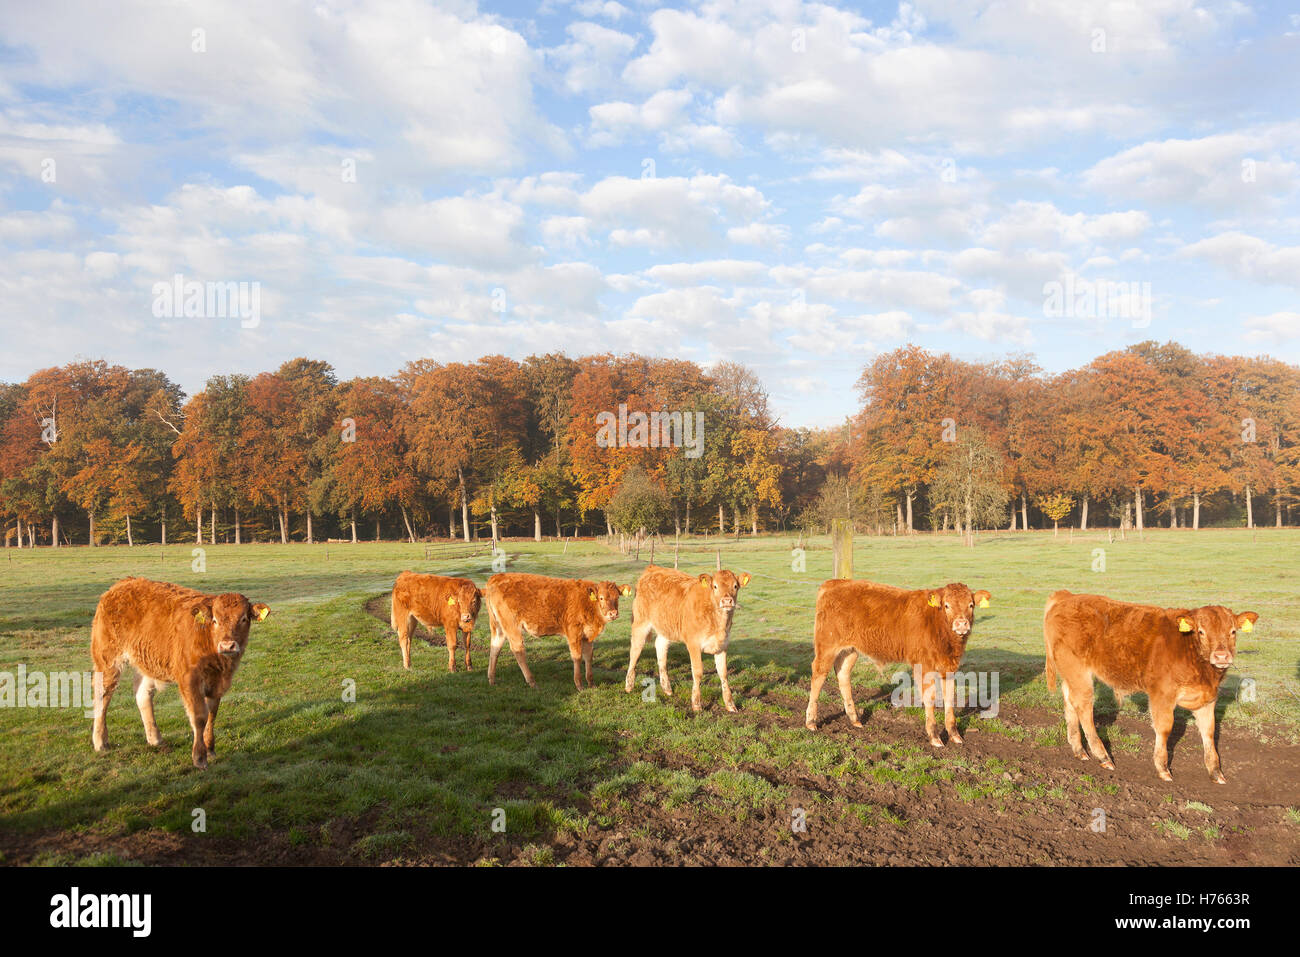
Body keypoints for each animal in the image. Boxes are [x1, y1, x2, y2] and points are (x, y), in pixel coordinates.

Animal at [90, 577, 270, 769]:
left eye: (243, 619)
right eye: (215, 620)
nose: (227, 645)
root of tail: (123, 583)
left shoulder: (217, 683)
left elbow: (212, 714)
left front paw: (210, 749)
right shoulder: (189, 679)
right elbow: (199, 716)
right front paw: (199, 757)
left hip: (147, 663)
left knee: (142, 695)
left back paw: (155, 738)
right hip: (107, 660)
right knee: (103, 695)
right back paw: (100, 741)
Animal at [483, 573, 631, 689]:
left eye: (617, 597)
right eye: (601, 597)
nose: (613, 613)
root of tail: (497, 577)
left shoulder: (588, 636)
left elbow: (589, 657)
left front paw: (591, 683)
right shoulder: (573, 633)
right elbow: (577, 657)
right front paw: (579, 685)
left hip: (499, 627)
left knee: (495, 647)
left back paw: (491, 680)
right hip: (511, 626)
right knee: (518, 650)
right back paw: (532, 682)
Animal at [623, 566, 750, 713]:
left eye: (735, 586)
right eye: (715, 586)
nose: (727, 601)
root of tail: (652, 568)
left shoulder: (722, 645)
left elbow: (723, 673)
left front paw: (730, 705)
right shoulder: (693, 644)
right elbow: (698, 672)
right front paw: (696, 704)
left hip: (666, 627)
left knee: (660, 647)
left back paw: (667, 688)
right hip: (640, 623)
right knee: (635, 650)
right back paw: (629, 685)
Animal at [805, 580, 992, 747]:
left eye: (971, 605)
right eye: (947, 605)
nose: (961, 624)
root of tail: (834, 583)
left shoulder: (949, 668)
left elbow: (950, 699)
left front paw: (954, 735)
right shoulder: (924, 665)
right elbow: (930, 698)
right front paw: (934, 737)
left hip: (849, 650)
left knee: (843, 674)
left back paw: (854, 719)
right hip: (827, 646)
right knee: (818, 675)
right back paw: (811, 721)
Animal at [1043, 590, 1259, 784]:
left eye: (1233, 631)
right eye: (1201, 631)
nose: (1221, 656)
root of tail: (1067, 596)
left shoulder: (1207, 699)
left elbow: (1209, 732)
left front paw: (1216, 772)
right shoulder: (1162, 694)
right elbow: (1164, 728)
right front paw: (1162, 768)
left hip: (1071, 674)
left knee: (1069, 701)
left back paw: (1079, 750)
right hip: (1078, 672)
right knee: (1084, 708)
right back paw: (1103, 756)